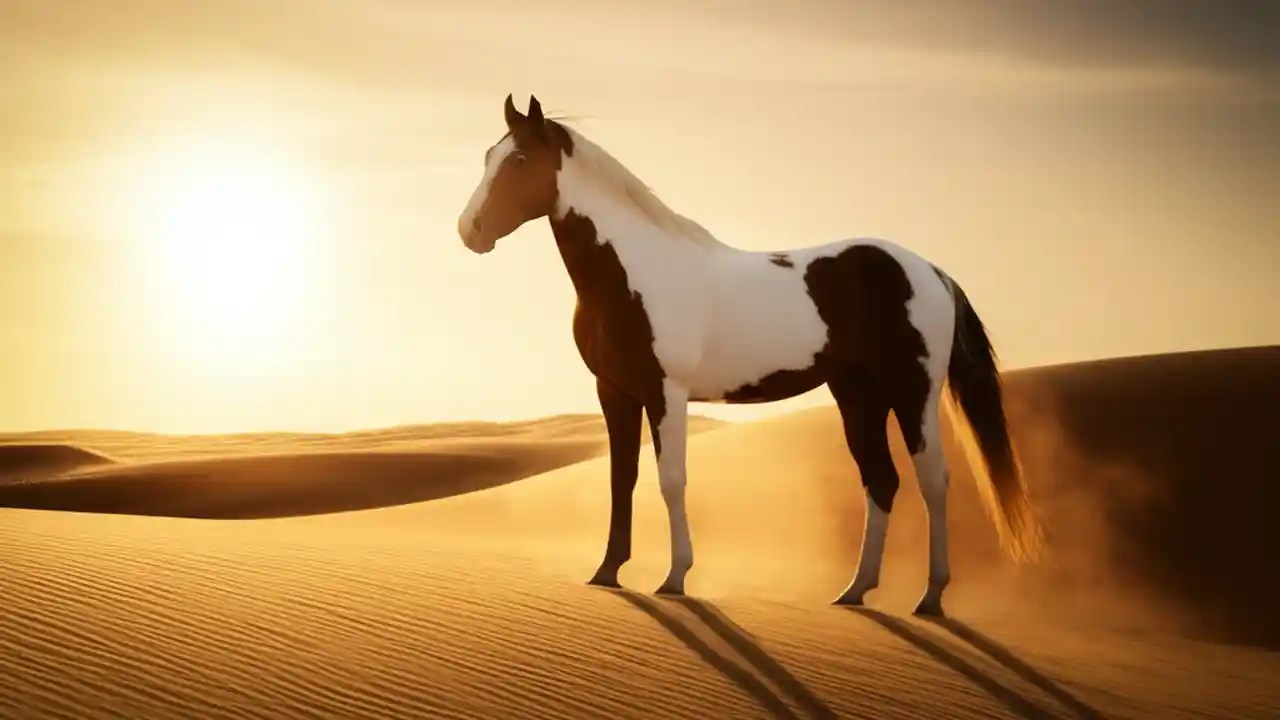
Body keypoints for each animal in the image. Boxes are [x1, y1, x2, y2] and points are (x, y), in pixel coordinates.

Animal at [457, 94, 1040, 615]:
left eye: (520, 160)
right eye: (488, 155)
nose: (470, 231)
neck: (635, 270)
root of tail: (931, 271)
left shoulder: (667, 392)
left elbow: (672, 480)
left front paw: (675, 577)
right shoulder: (615, 391)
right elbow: (623, 479)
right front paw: (607, 572)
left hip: (912, 392)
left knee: (933, 481)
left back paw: (931, 598)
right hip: (858, 394)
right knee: (881, 479)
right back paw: (854, 591)